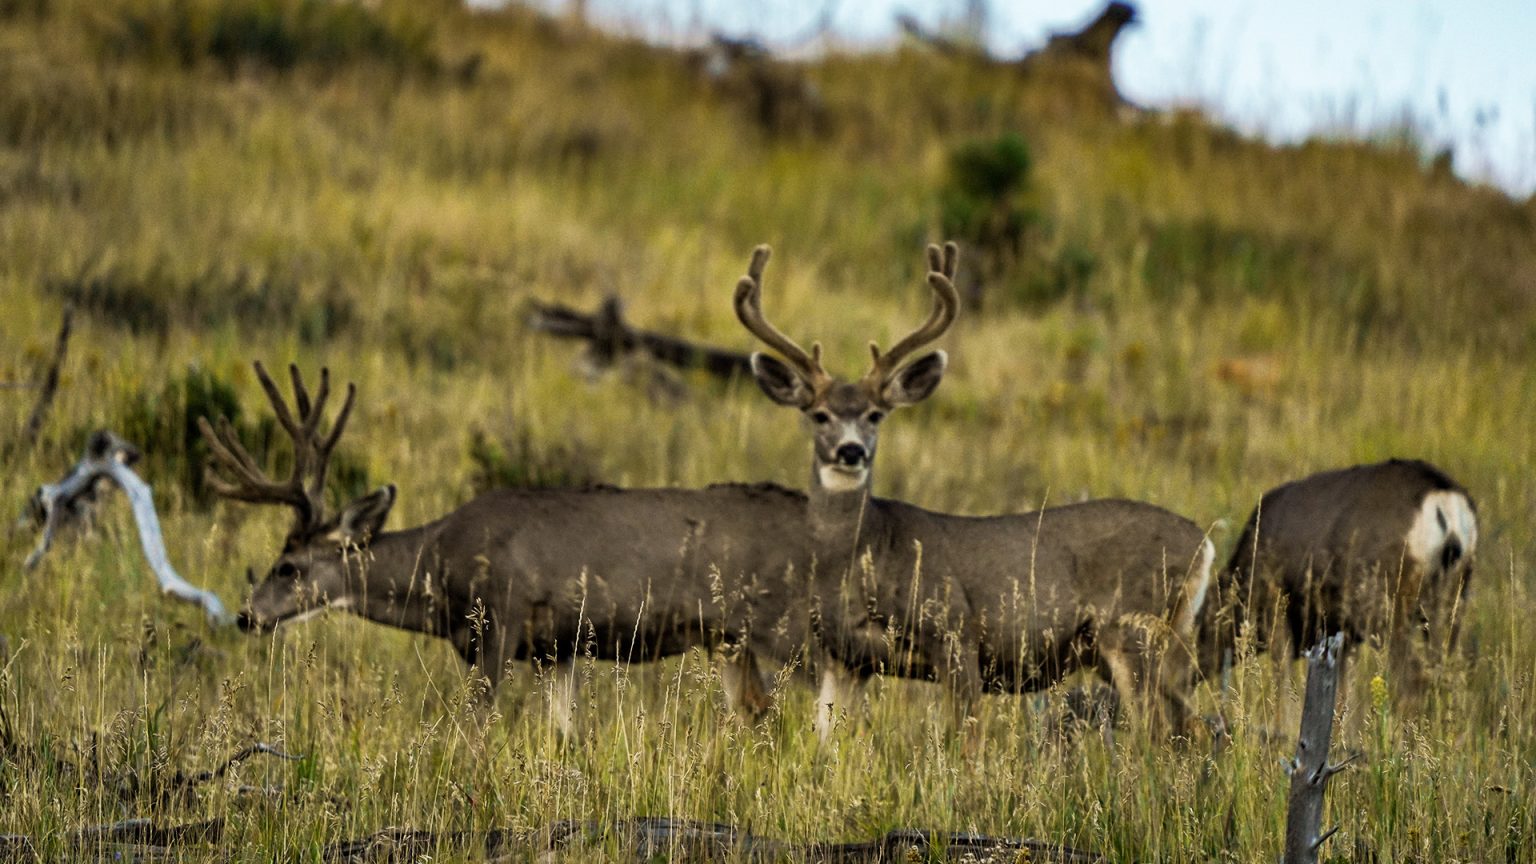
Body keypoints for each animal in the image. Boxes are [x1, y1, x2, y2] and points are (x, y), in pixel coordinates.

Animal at [200, 362, 815, 734]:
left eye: (288, 566)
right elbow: (563, 733)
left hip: (785, 626)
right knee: (759, 711)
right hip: (729, 640)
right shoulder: (554, 649)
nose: (246, 615)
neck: (439, 564)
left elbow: (475, 726)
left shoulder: (499, 621)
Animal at [733, 242, 1217, 739]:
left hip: (1133, 627)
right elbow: (827, 741)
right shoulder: (843, 658)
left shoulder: (955, 634)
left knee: (1159, 731)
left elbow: (967, 738)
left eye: (875, 414)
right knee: (1189, 726)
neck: (863, 555)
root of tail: (1204, 543)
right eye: (819, 415)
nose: (851, 451)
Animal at [1198, 459, 1478, 722]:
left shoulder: (1274, 607)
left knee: (1413, 678)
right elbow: (1344, 698)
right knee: (1448, 673)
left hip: (1387, 602)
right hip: (1452, 599)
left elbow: (1283, 687)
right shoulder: (1344, 633)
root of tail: (1446, 507)